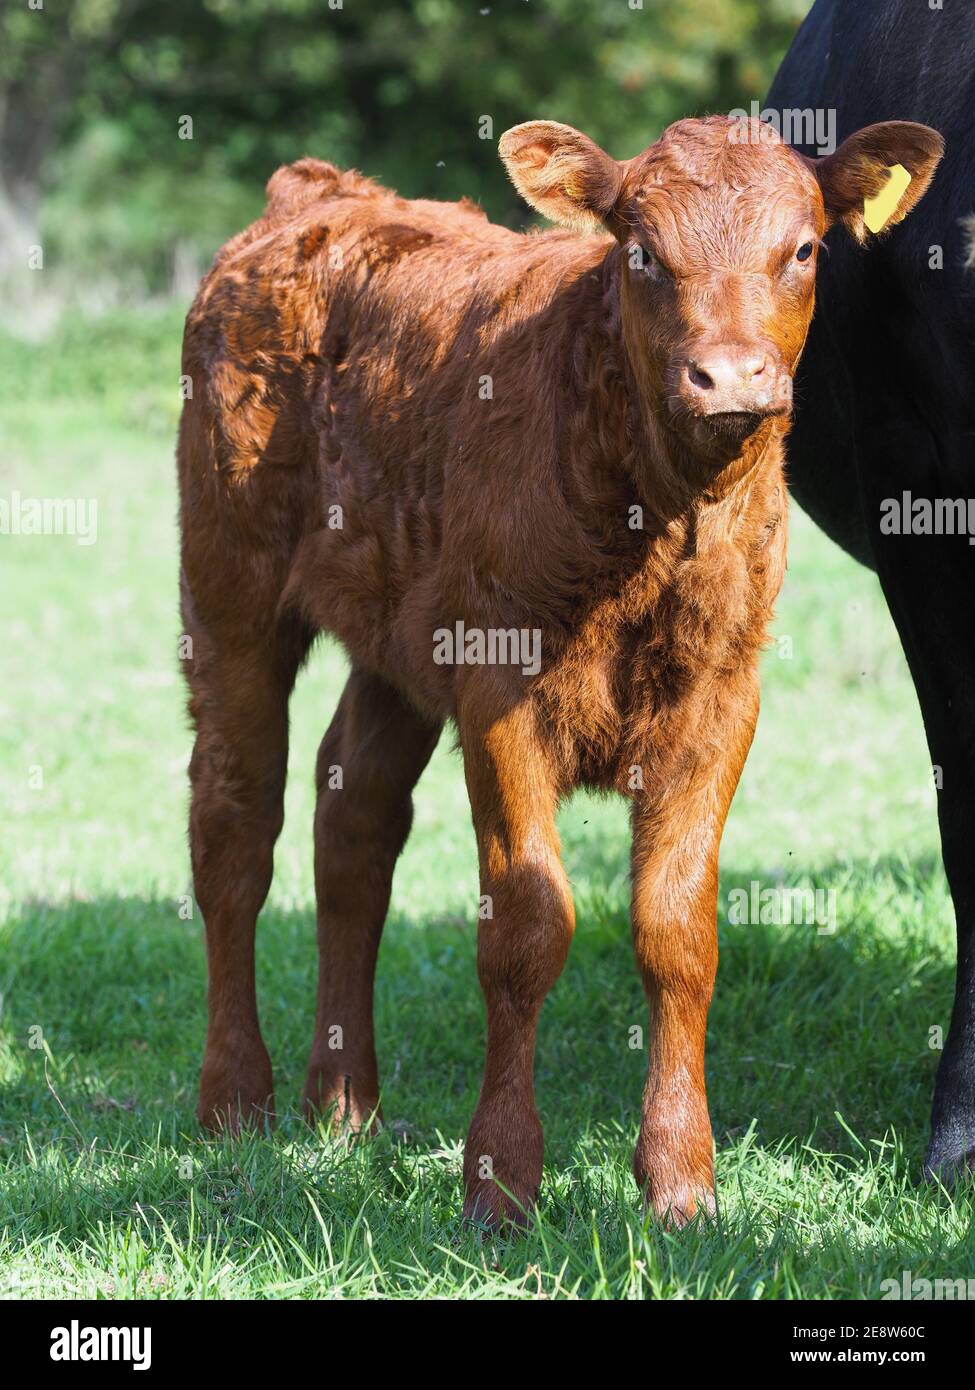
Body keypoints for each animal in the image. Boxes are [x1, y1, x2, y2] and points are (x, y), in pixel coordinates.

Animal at [177, 111, 941, 1226]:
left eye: (803, 249)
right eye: (642, 252)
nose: (731, 378)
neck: (658, 515)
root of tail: (322, 193)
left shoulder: (722, 697)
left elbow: (678, 929)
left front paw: (681, 1181)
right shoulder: (503, 688)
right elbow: (528, 926)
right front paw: (500, 1179)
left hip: (399, 634)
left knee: (353, 820)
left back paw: (344, 1102)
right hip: (230, 594)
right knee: (235, 824)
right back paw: (236, 1097)